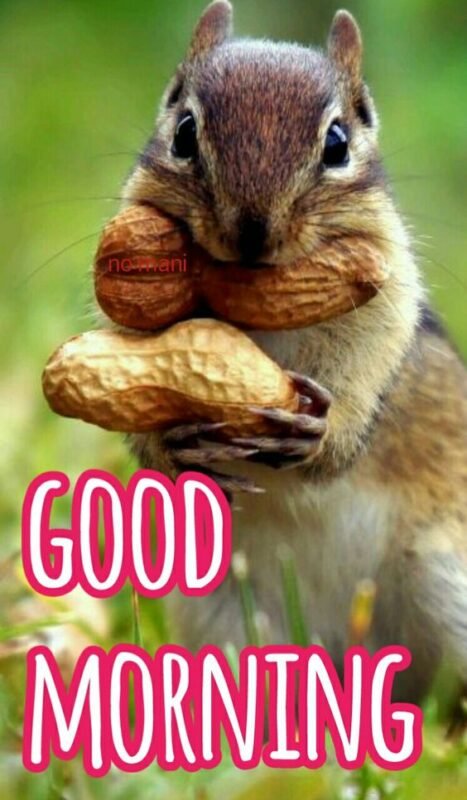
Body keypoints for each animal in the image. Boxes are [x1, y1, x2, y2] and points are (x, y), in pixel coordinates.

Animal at [119, 1, 467, 702]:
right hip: (227, 618)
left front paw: (320, 430)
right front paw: (174, 445)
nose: (253, 232)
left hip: (449, 586)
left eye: (337, 144)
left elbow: (358, 404)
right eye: (183, 132)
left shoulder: (387, 313)